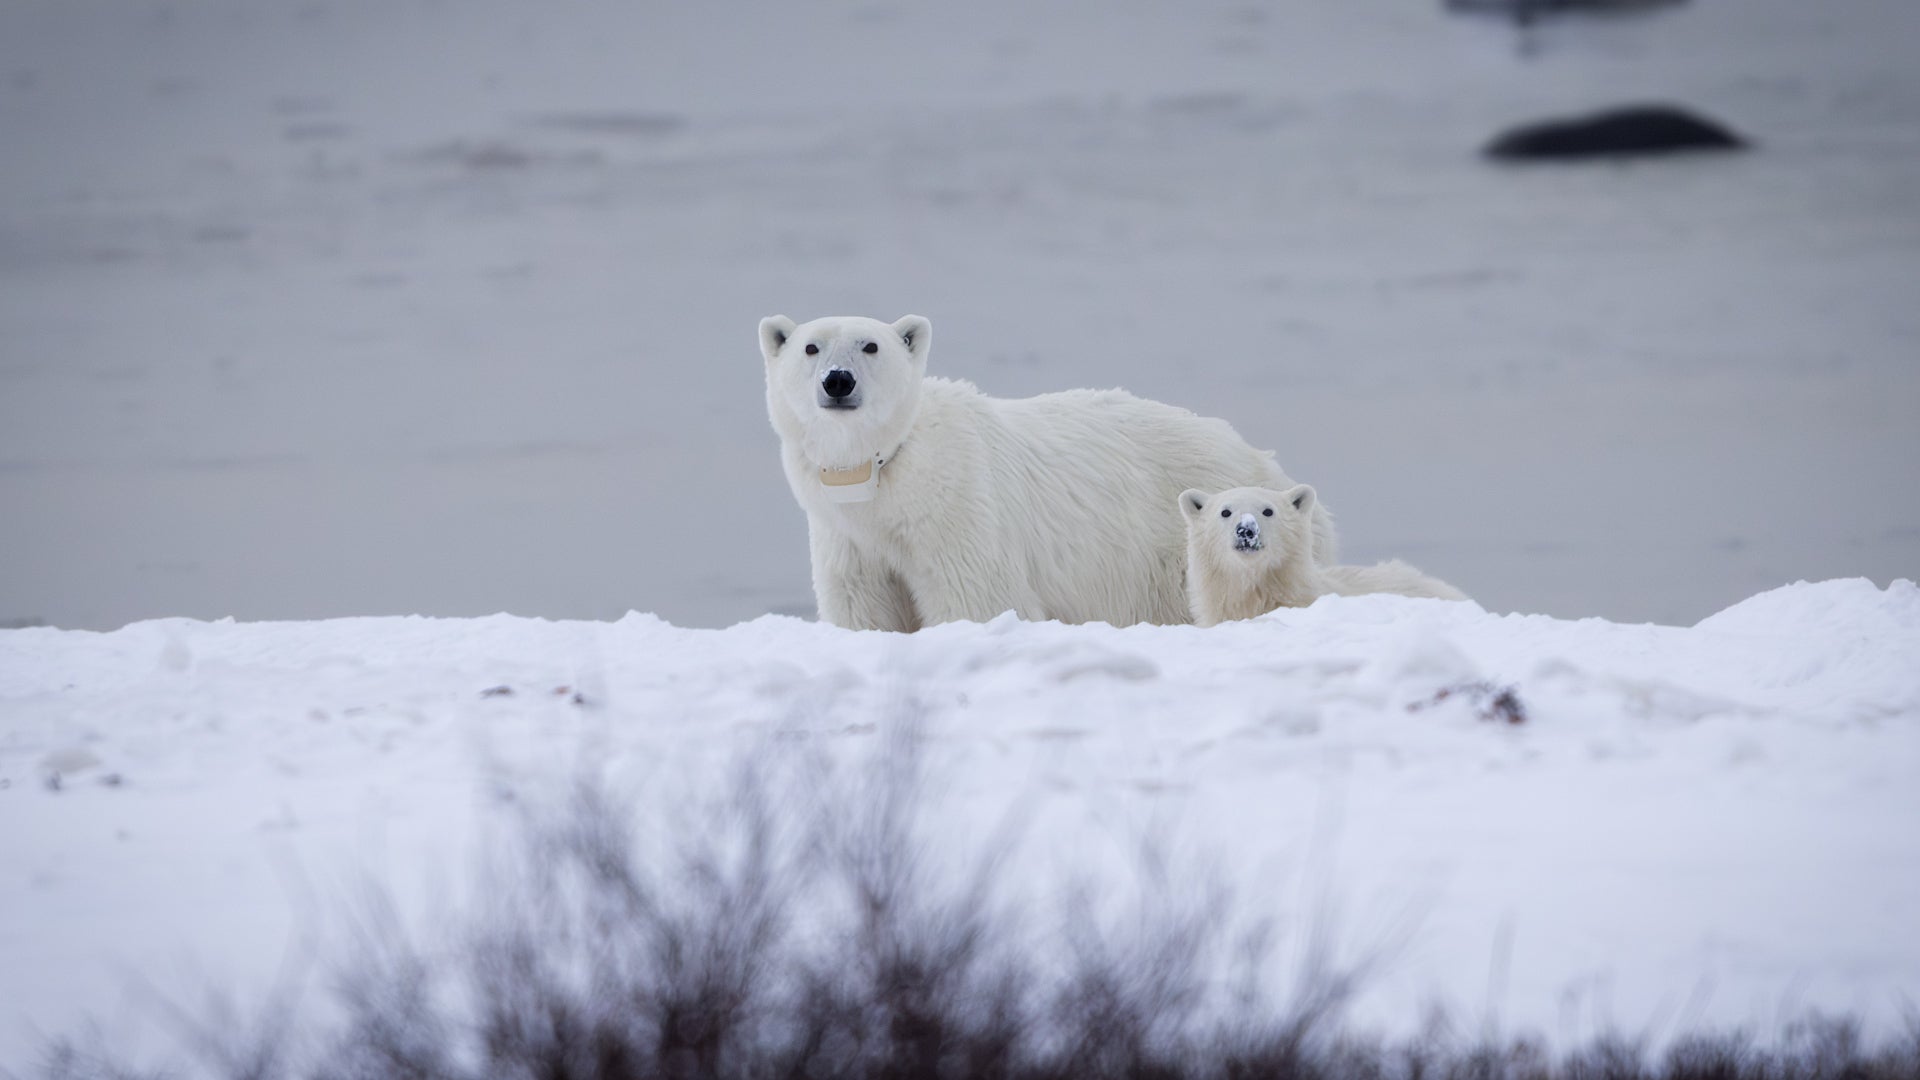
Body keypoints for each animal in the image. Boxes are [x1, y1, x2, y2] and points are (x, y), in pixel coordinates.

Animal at [759, 314, 1336, 630]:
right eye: (810, 346)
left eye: (871, 345)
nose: (838, 380)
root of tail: (1264, 458)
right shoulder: (847, 536)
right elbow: (864, 609)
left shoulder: (962, 514)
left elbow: (980, 600)